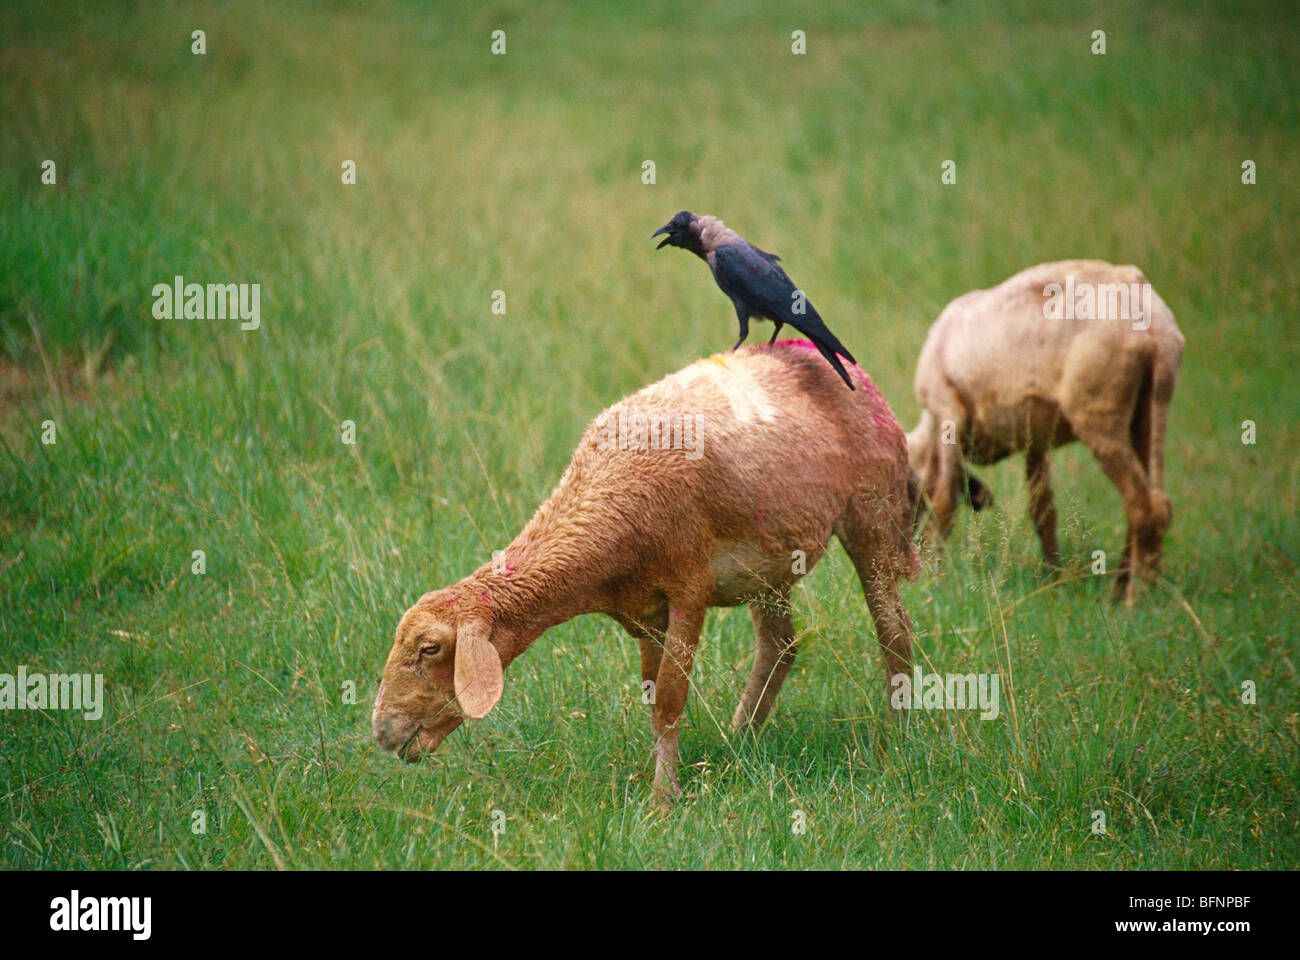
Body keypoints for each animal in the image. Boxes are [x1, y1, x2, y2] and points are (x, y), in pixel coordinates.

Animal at [372, 340, 920, 807]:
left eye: (430, 648)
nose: (381, 733)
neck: (607, 496)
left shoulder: (689, 590)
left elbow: (670, 701)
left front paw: (663, 801)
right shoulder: (643, 614)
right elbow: (653, 697)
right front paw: (662, 776)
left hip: (873, 517)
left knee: (894, 632)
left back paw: (894, 743)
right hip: (771, 562)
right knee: (781, 645)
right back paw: (741, 739)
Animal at [906, 260, 1185, 604]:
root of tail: (1154, 324)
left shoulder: (948, 413)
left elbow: (945, 501)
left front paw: (928, 581)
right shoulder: (1035, 441)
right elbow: (1043, 512)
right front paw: (1055, 580)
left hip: (1099, 415)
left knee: (1146, 506)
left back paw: (1133, 599)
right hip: (1149, 410)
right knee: (1151, 502)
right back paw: (1123, 589)